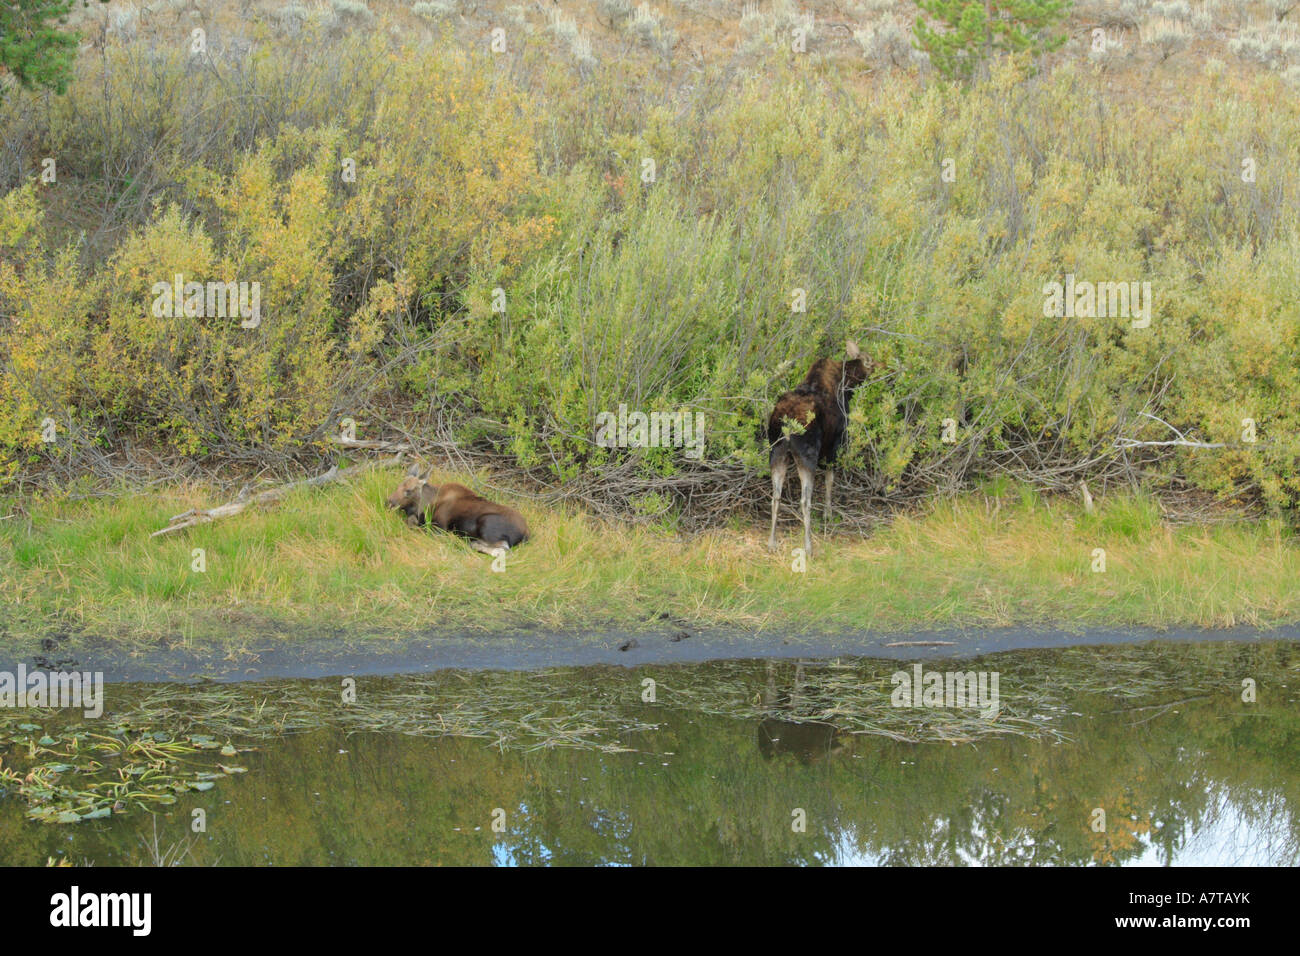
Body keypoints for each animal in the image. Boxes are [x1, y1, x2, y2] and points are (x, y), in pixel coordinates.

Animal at [388, 464, 529, 557]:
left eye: (408, 490)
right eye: (398, 486)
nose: (388, 502)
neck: (425, 505)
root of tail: (526, 533)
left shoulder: (439, 528)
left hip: (487, 525)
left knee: (503, 550)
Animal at [766, 339, 877, 557]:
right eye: (873, 363)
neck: (847, 385)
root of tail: (787, 425)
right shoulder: (835, 443)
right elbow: (829, 480)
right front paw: (828, 513)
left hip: (777, 453)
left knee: (776, 496)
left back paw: (772, 543)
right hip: (807, 455)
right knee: (804, 500)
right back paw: (808, 547)